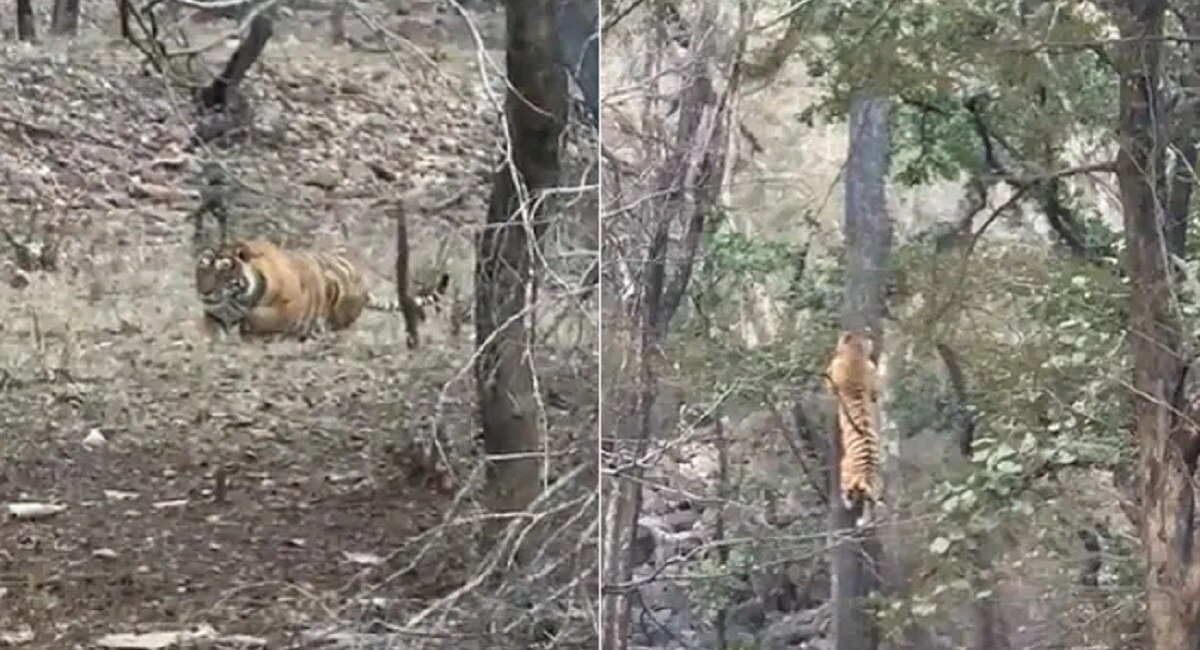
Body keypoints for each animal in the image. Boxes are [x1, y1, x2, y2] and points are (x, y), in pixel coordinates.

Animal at [193, 239, 449, 346]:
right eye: (202, 270)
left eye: (223, 271)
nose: (205, 292)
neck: (235, 301)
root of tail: (364, 285)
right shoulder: (215, 315)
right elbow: (211, 328)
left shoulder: (284, 307)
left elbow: (260, 319)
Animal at [824, 329, 882, 528]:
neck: (855, 353)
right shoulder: (872, 375)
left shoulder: (834, 376)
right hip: (873, 488)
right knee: (871, 504)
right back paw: (864, 521)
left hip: (845, 471)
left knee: (849, 494)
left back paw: (848, 505)